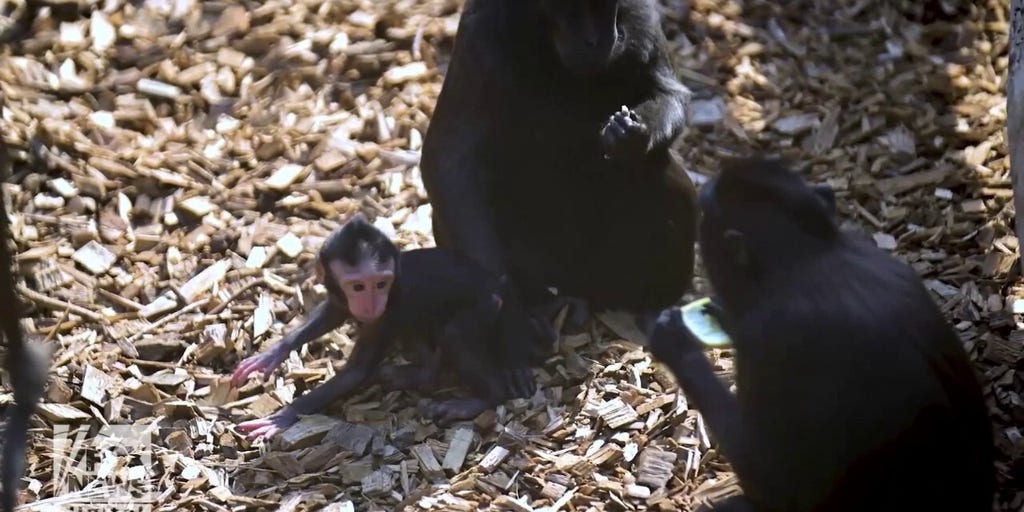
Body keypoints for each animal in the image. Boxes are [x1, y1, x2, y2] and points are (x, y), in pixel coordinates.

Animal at [232, 214, 537, 439]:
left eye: (381, 284)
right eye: (358, 287)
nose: (371, 304)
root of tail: (494, 283)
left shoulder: (386, 313)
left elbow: (356, 372)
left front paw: (284, 416)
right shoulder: (343, 298)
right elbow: (333, 313)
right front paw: (273, 353)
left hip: (488, 305)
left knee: (455, 333)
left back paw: (481, 398)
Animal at [419, 0, 698, 358]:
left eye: (606, 9)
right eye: (567, 10)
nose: (597, 41)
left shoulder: (644, 17)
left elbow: (671, 94)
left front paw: (631, 135)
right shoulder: (480, 35)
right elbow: (450, 157)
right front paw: (508, 314)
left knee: (659, 174)